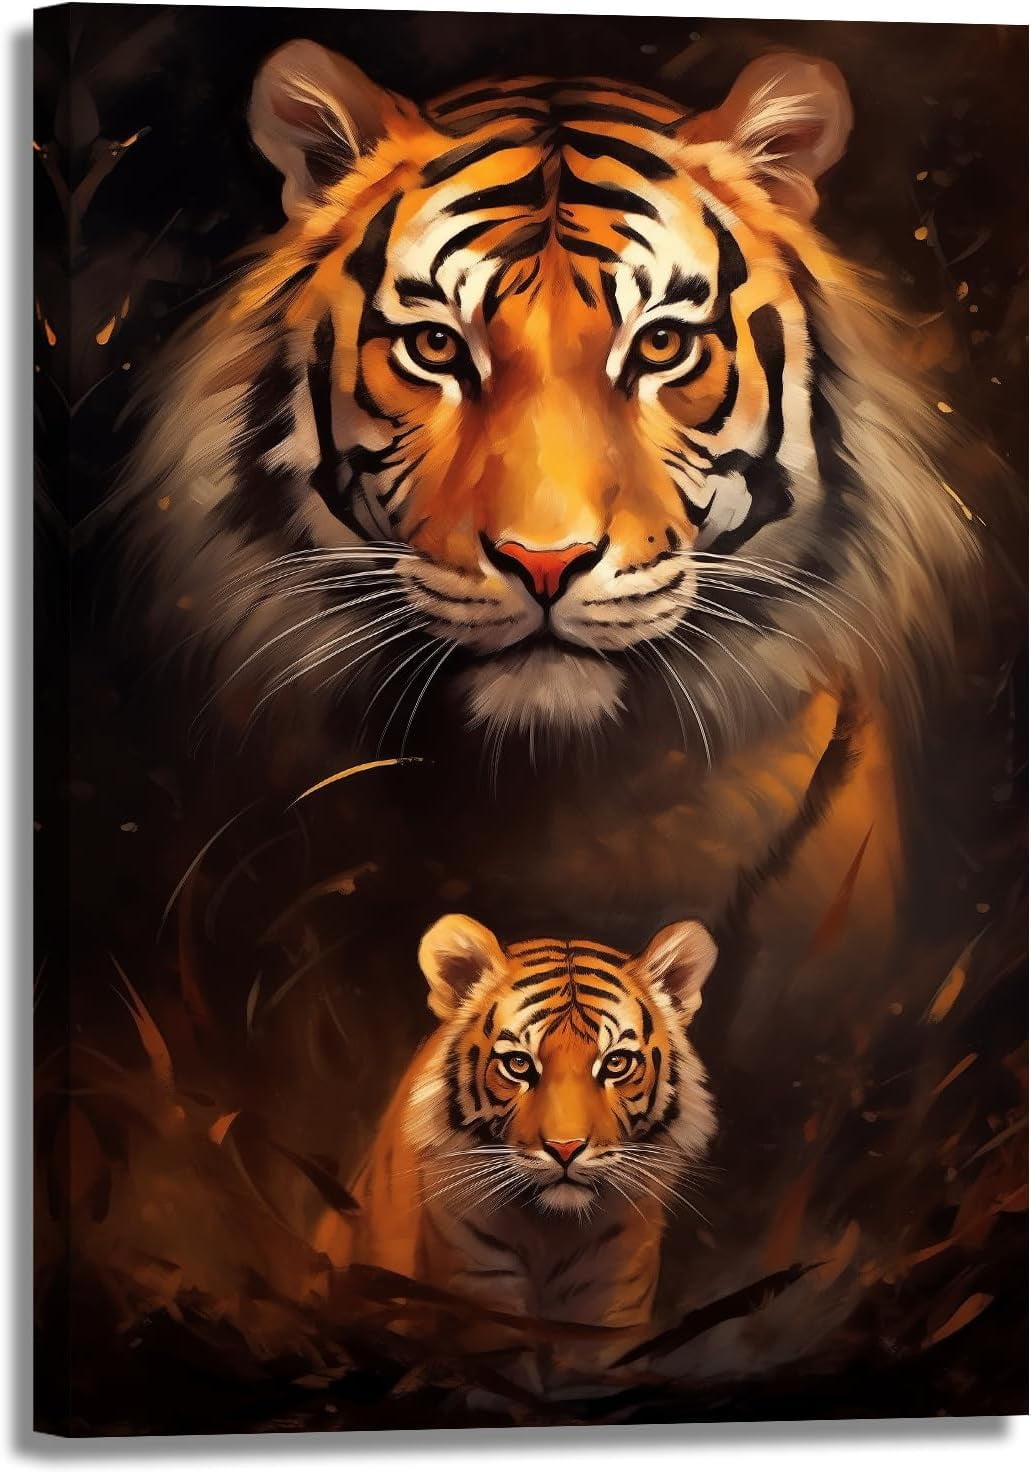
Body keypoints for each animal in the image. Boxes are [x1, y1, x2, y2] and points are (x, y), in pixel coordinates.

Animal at [313, 911, 719, 1386]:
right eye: (519, 1064)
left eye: (616, 1063)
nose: (565, 1148)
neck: (551, 1231)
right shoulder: (481, 1299)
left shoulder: (609, 1305)